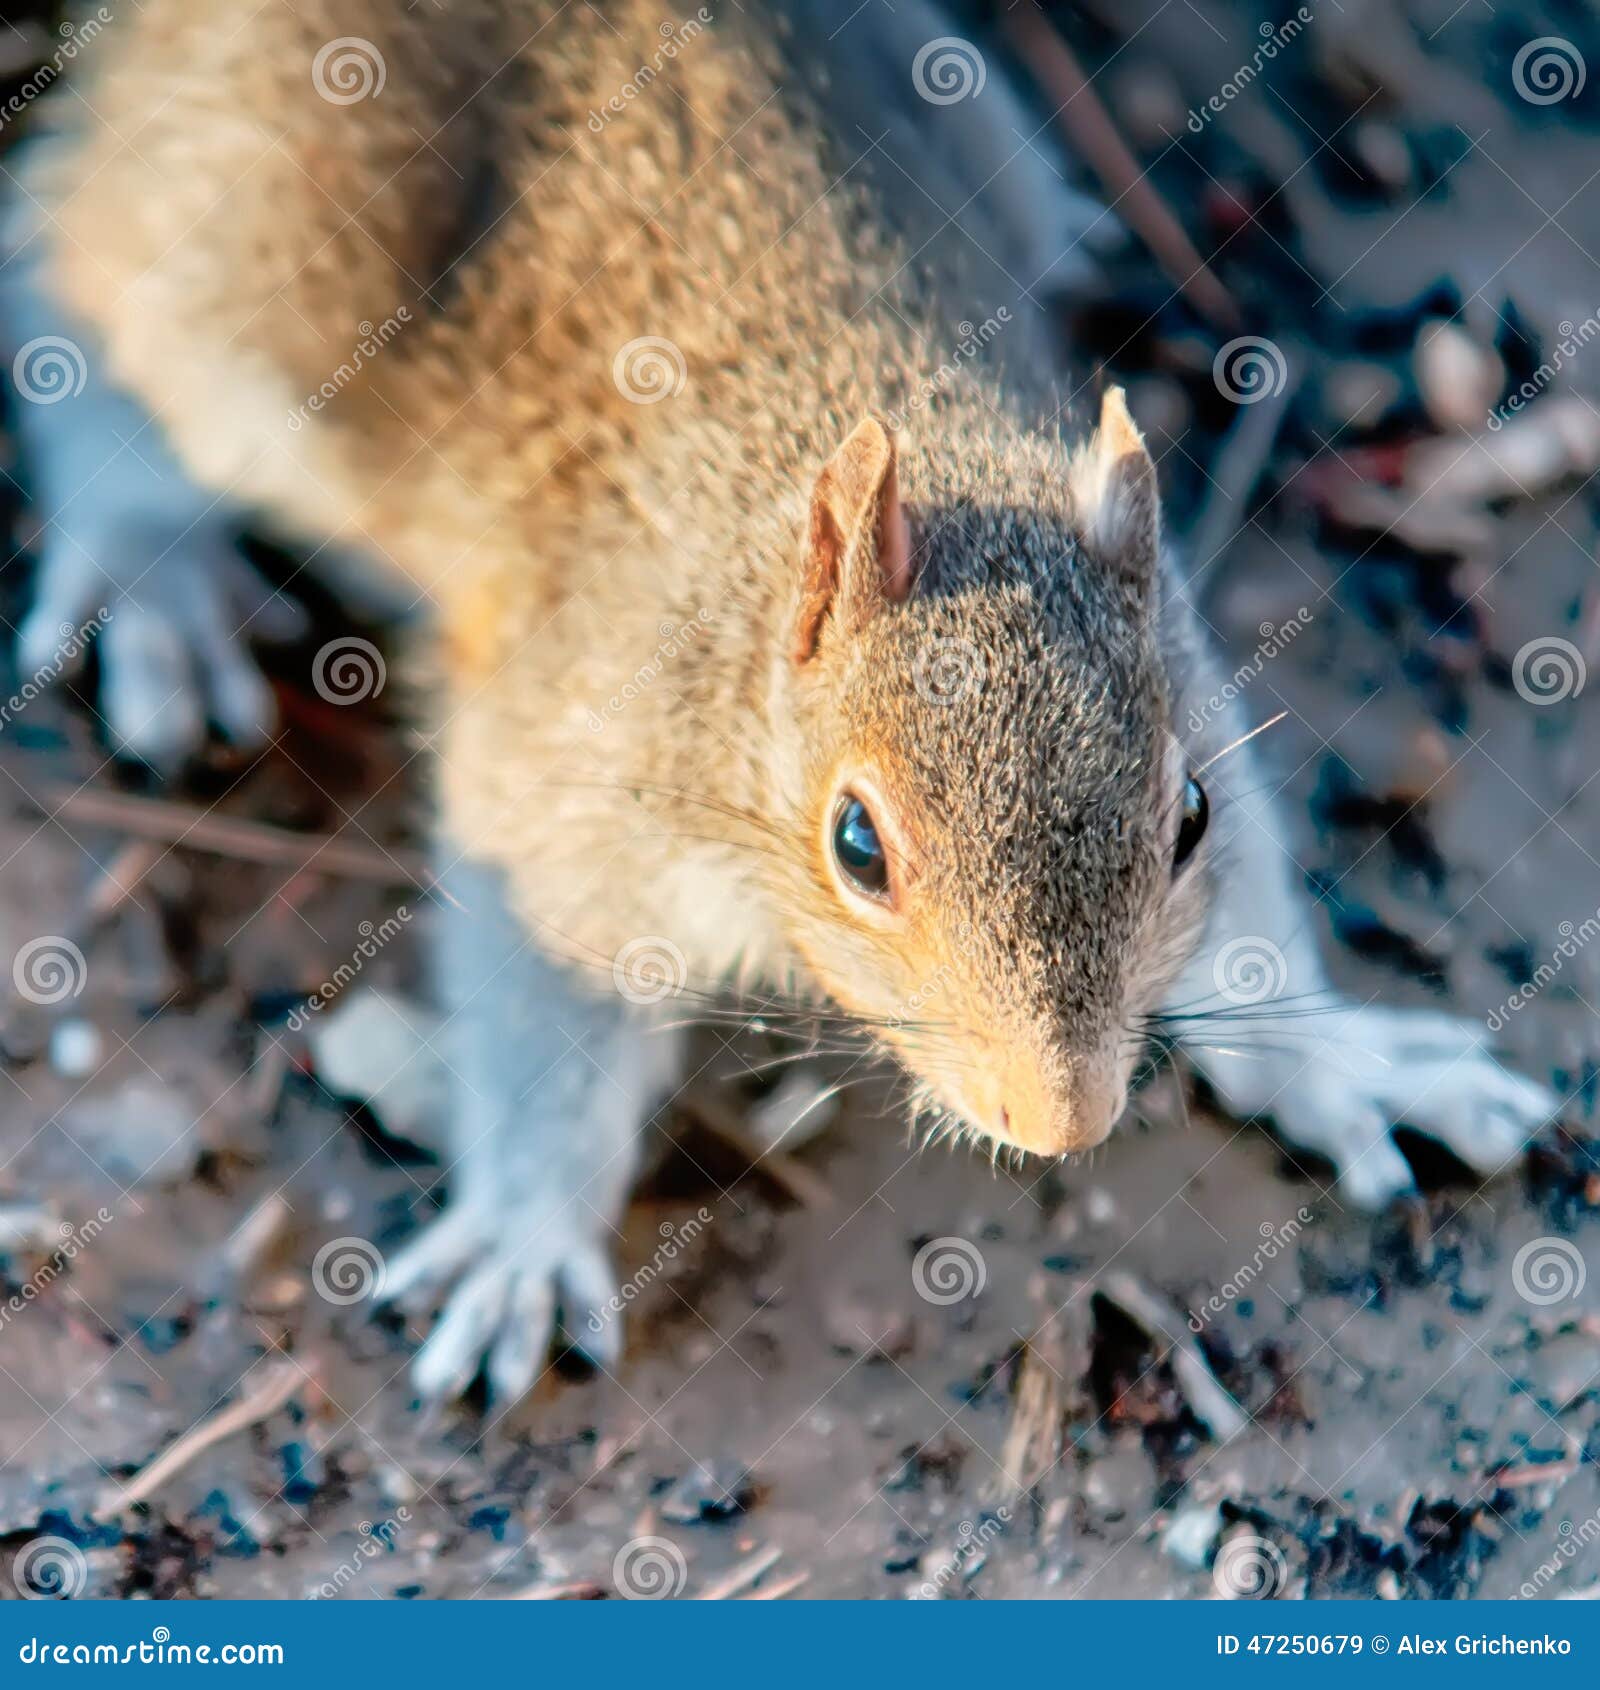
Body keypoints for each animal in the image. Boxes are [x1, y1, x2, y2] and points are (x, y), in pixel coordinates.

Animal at [2, 0, 1558, 1402]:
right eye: (857, 845)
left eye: (1189, 817)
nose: (1064, 1122)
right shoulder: (563, 786)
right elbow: (541, 1011)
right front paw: (523, 1240)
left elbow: (1250, 925)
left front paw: (1336, 1054)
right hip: (256, 252)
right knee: (68, 275)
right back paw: (148, 570)